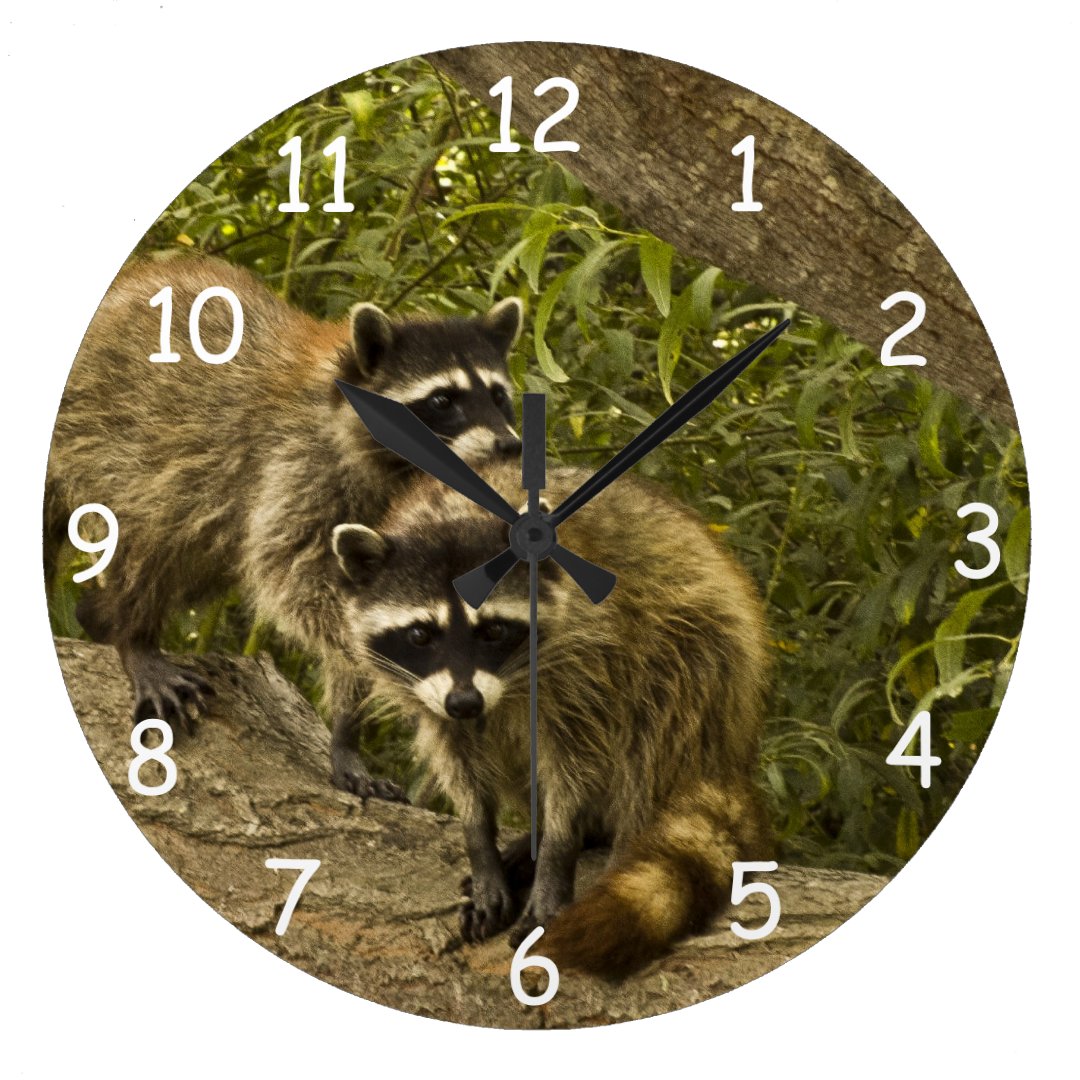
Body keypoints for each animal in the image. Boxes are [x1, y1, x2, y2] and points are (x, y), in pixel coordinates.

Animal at [44, 254, 523, 801]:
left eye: (498, 396)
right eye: (443, 400)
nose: (509, 445)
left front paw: (346, 731)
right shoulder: (297, 459)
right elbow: (293, 573)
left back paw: (99, 617)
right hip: (106, 434)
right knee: (155, 522)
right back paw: (134, 635)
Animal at [331, 458, 774, 975]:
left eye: (493, 630)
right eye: (421, 634)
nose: (466, 704)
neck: (451, 515)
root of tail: (736, 749)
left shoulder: (588, 657)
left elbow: (576, 761)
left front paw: (557, 854)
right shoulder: (429, 692)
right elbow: (459, 760)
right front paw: (480, 842)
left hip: (703, 653)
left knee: (659, 720)